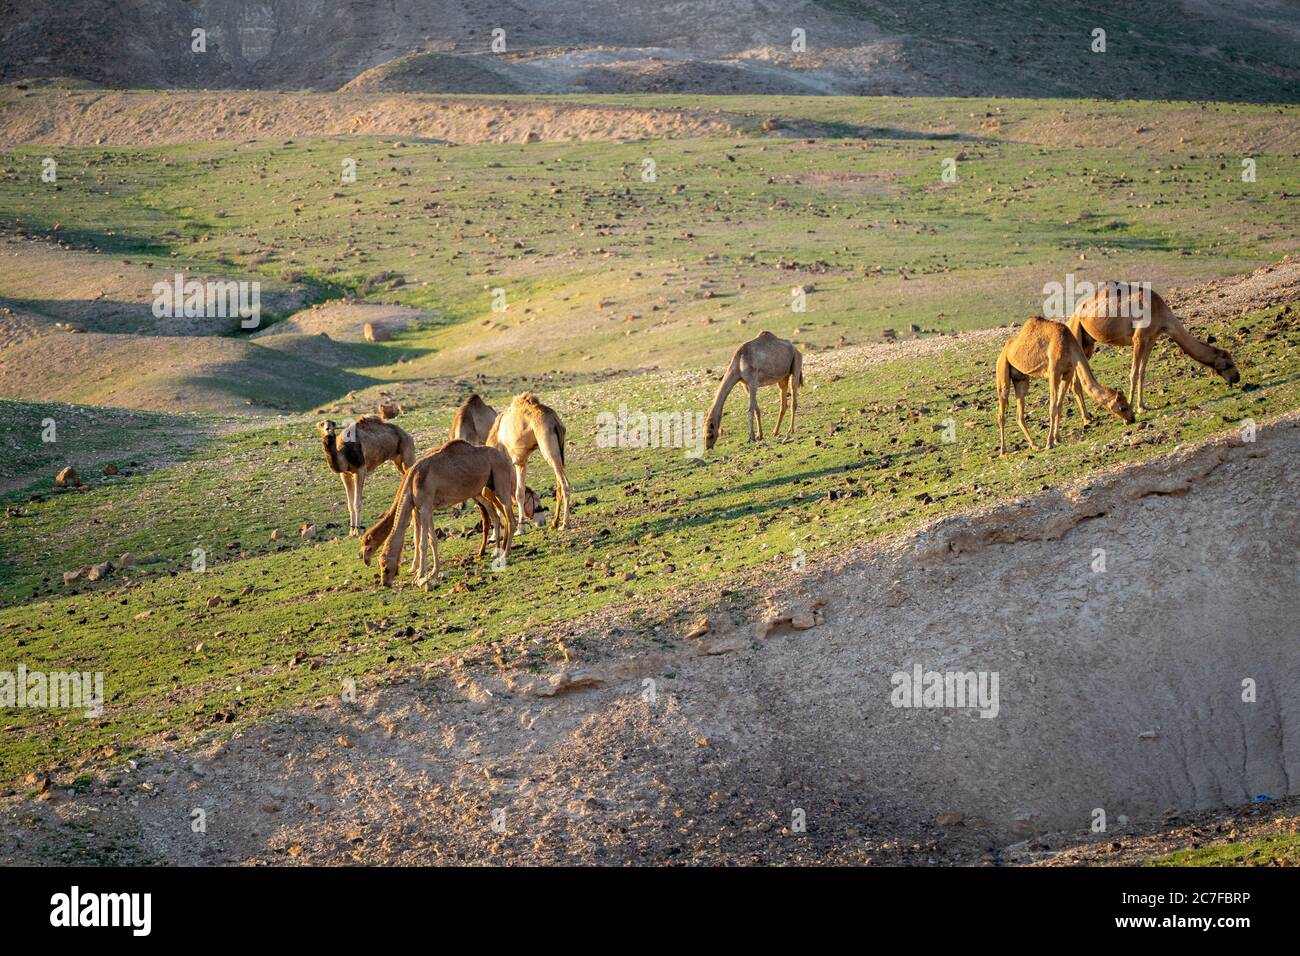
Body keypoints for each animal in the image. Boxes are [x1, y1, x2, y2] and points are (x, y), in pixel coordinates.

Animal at [360, 440, 516, 587]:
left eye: (385, 567)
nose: (384, 583)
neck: (411, 483)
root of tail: (503, 456)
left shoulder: (424, 507)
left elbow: (422, 542)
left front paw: (419, 575)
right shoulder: (425, 508)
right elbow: (432, 540)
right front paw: (433, 571)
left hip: (499, 482)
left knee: (509, 517)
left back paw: (505, 554)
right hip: (485, 487)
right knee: (497, 515)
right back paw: (497, 551)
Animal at [486, 393, 571, 531]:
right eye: (537, 502)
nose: (541, 521)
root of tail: (554, 421)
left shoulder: (518, 460)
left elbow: (519, 493)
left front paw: (520, 529)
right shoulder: (519, 460)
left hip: (547, 448)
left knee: (565, 485)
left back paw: (564, 524)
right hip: (559, 449)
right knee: (559, 483)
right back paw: (554, 523)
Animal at [997, 316, 1134, 455]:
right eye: (1123, 407)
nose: (1132, 419)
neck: (1068, 345)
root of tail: (1004, 350)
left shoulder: (1068, 372)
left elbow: (1059, 406)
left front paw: (1057, 439)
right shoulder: (1054, 372)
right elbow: (1052, 408)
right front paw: (1049, 443)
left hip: (1021, 379)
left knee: (1020, 412)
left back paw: (1034, 445)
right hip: (1002, 370)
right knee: (1002, 411)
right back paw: (1003, 451)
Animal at [1068, 282, 1239, 419]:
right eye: (1229, 363)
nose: (1237, 377)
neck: (1161, 314)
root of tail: (1074, 313)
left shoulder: (1151, 339)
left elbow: (1142, 372)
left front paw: (1142, 406)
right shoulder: (1139, 338)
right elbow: (1133, 373)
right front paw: (1131, 407)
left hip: (1088, 344)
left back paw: (1087, 415)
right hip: (1076, 331)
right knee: (1075, 380)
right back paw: (1086, 418)